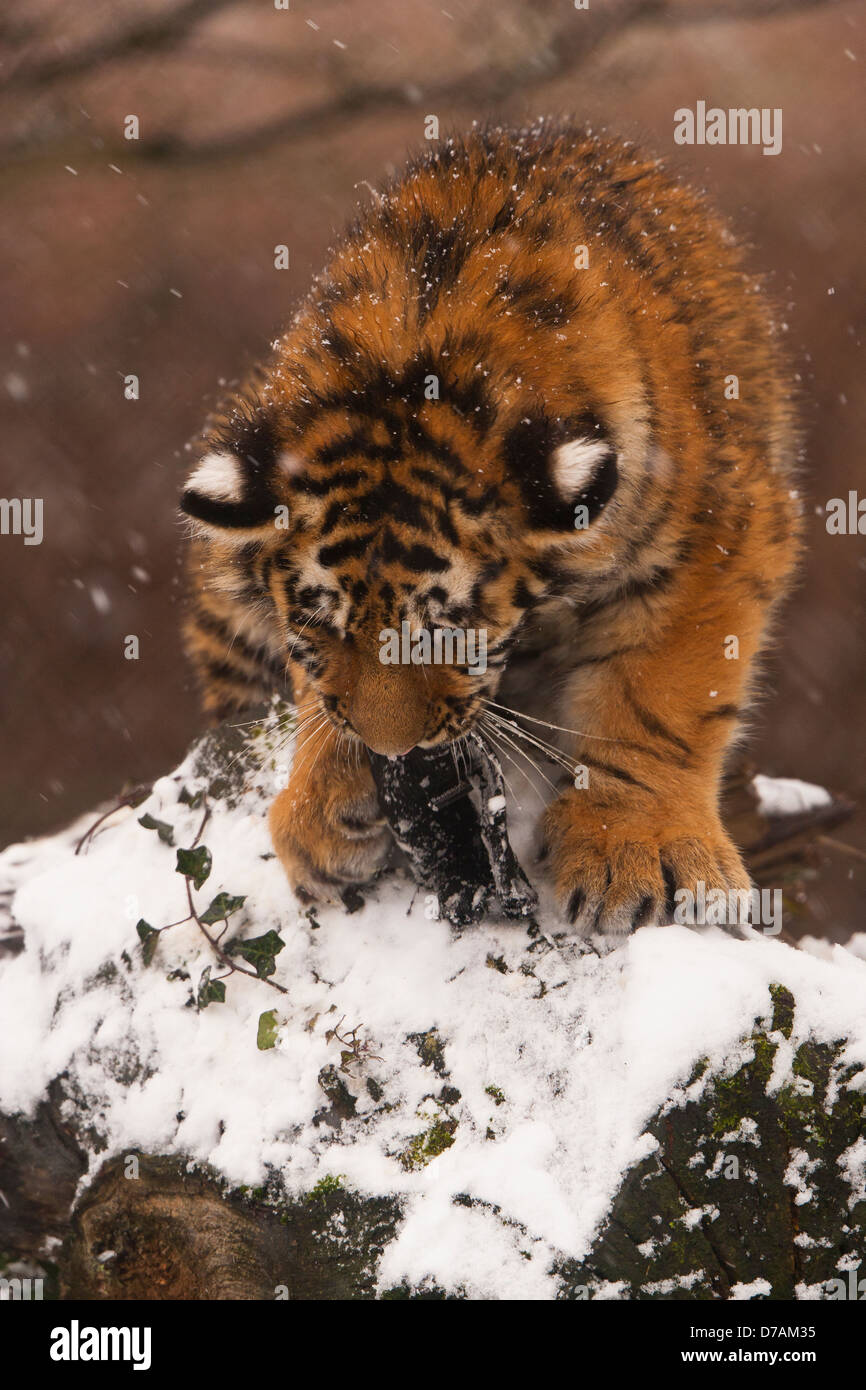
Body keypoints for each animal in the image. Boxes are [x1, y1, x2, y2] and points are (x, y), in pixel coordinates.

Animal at [180, 120, 802, 936]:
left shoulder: (716, 536)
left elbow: (657, 696)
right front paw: (320, 814)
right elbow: (316, 691)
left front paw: (637, 843)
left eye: (448, 629)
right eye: (322, 624)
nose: (393, 748)